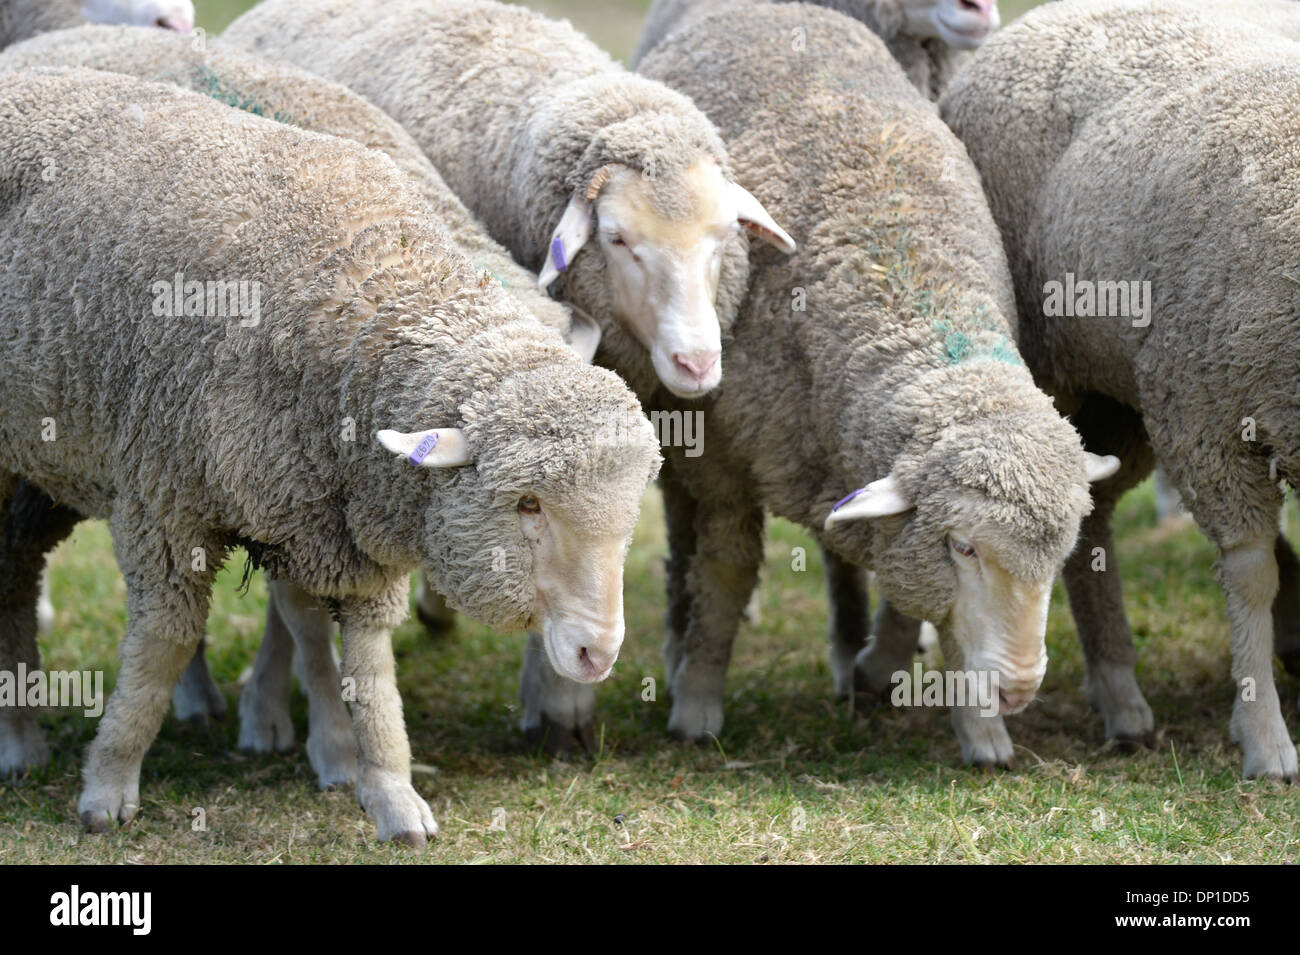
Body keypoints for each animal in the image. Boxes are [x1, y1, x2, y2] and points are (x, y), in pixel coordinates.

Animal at [0, 67, 661, 842]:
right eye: (527, 502)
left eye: (629, 516)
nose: (599, 653)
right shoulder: (165, 502)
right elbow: (162, 643)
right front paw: (108, 784)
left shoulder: (325, 518)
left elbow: (369, 670)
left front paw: (390, 792)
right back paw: (21, 742)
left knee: (13, 570)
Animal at [939, 0, 1300, 778]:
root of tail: (1037, 20)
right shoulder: (1205, 419)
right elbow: (1250, 574)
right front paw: (1265, 737)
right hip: (1065, 374)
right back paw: (1118, 694)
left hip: (1112, 398)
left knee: (1092, 509)